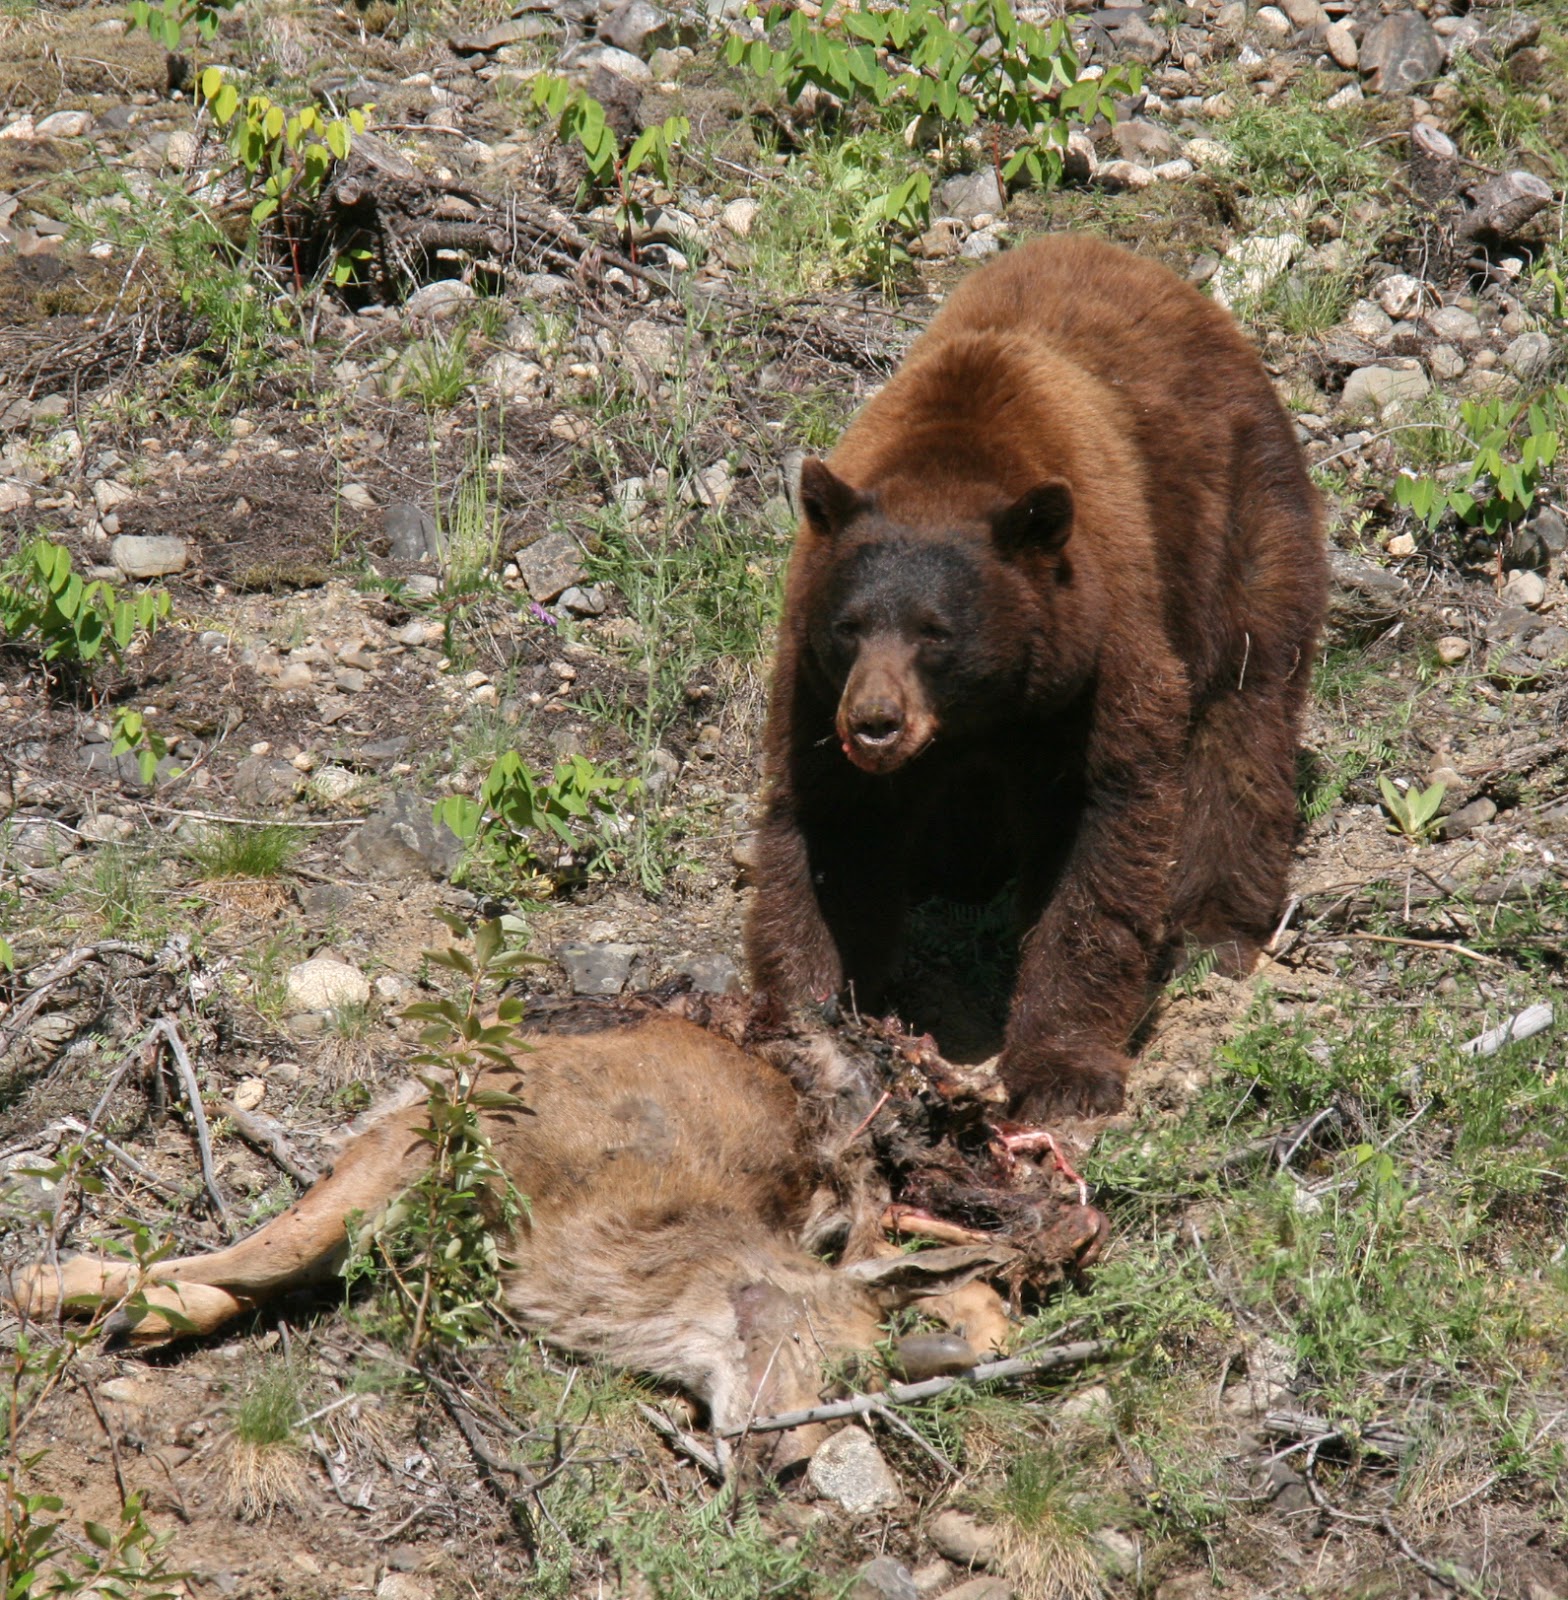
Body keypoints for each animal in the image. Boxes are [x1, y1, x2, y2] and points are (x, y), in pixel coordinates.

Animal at [745, 232, 1327, 1118]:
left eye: (935, 632)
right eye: (849, 627)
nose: (874, 723)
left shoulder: (1102, 652)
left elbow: (1102, 830)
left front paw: (1062, 1072)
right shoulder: (812, 684)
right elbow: (827, 828)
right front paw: (809, 1016)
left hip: (1239, 512)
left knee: (1246, 705)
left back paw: (1217, 925)